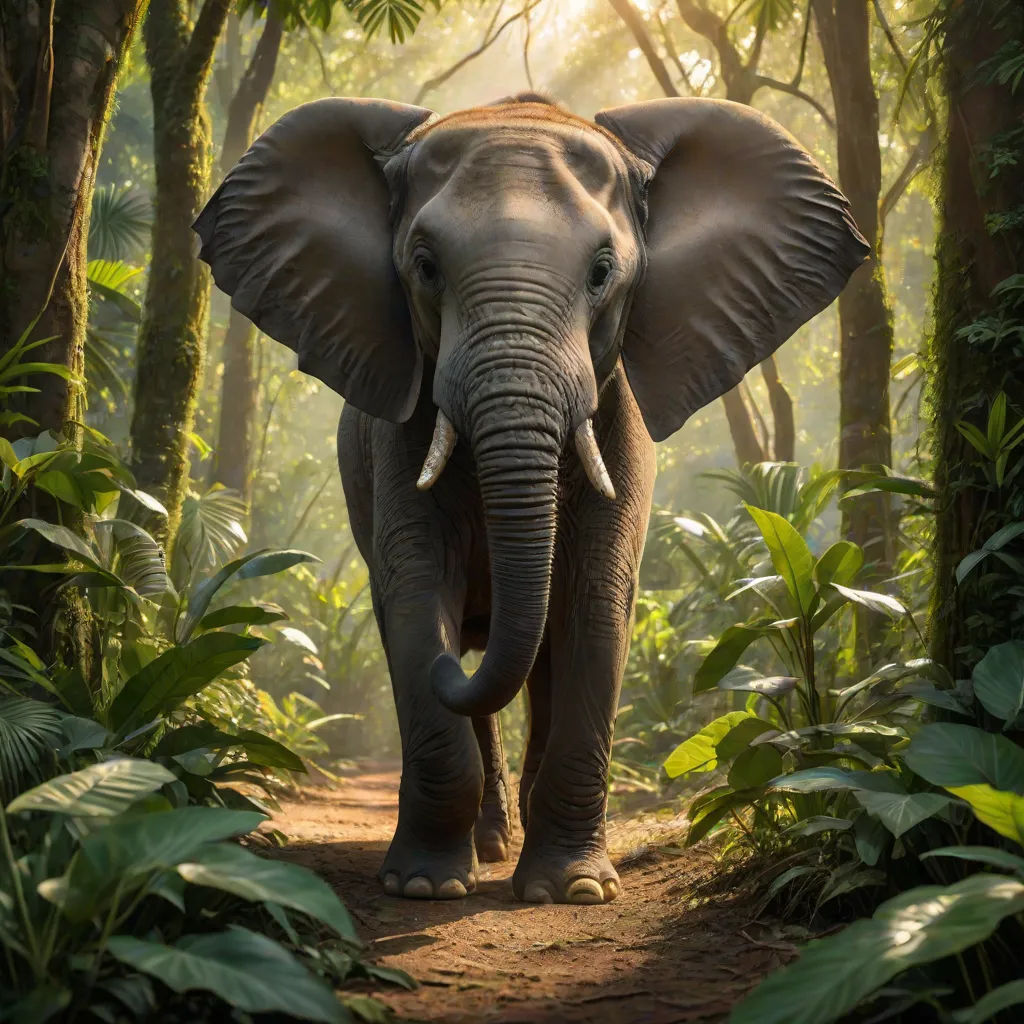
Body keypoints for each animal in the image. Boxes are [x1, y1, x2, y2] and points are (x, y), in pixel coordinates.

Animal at [193, 92, 868, 905]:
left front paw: (573, 891)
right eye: (424, 267)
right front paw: (422, 888)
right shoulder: (398, 432)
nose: (454, 664)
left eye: (603, 272)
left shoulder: (619, 422)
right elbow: (417, 589)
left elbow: (597, 602)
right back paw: (483, 844)